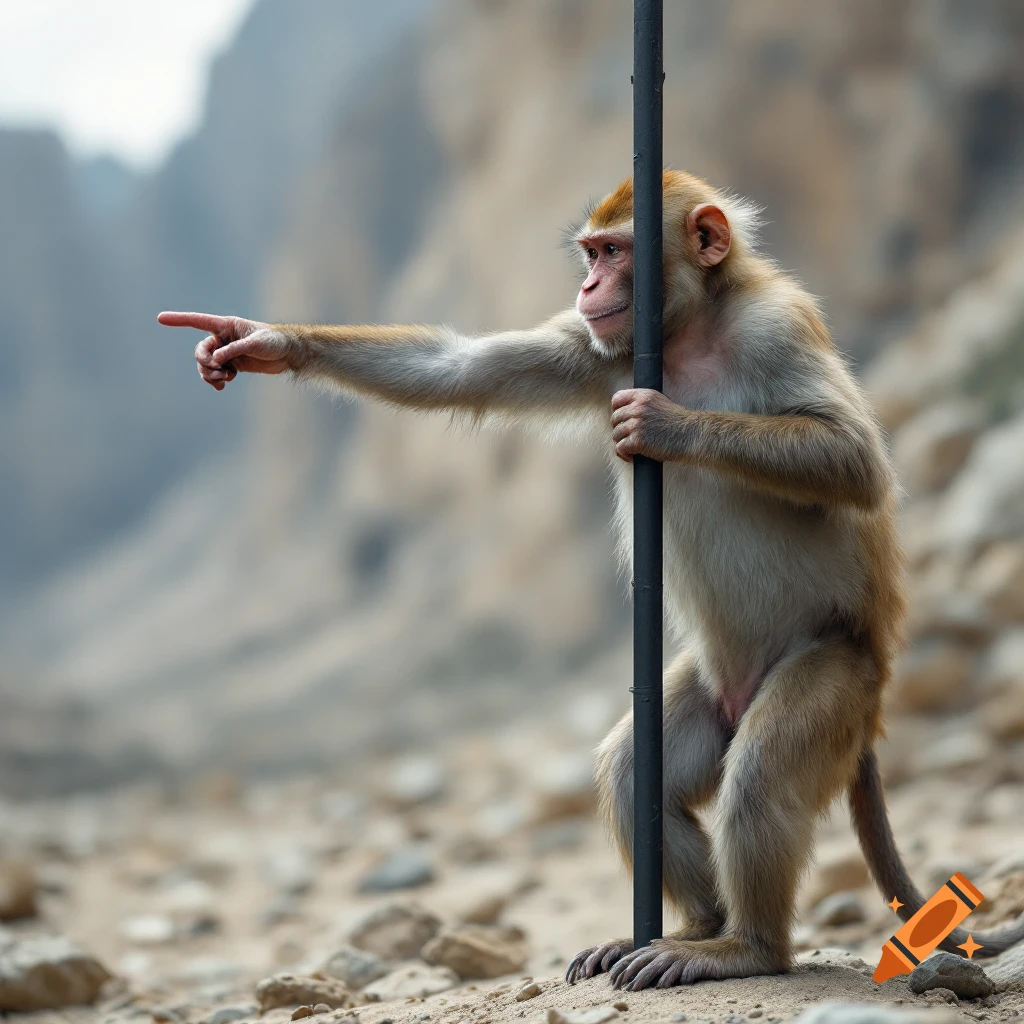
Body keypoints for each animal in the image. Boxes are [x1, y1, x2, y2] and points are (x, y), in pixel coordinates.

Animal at [159, 169, 1024, 989]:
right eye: (591, 255)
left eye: (614, 252)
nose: (587, 287)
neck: (693, 329)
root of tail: (873, 672)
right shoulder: (600, 347)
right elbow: (461, 371)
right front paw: (261, 342)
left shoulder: (775, 328)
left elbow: (854, 460)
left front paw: (666, 424)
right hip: (717, 690)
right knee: (636, 771)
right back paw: (696, 925)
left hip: (838, 677)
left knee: (759, 780)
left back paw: (746, 949)